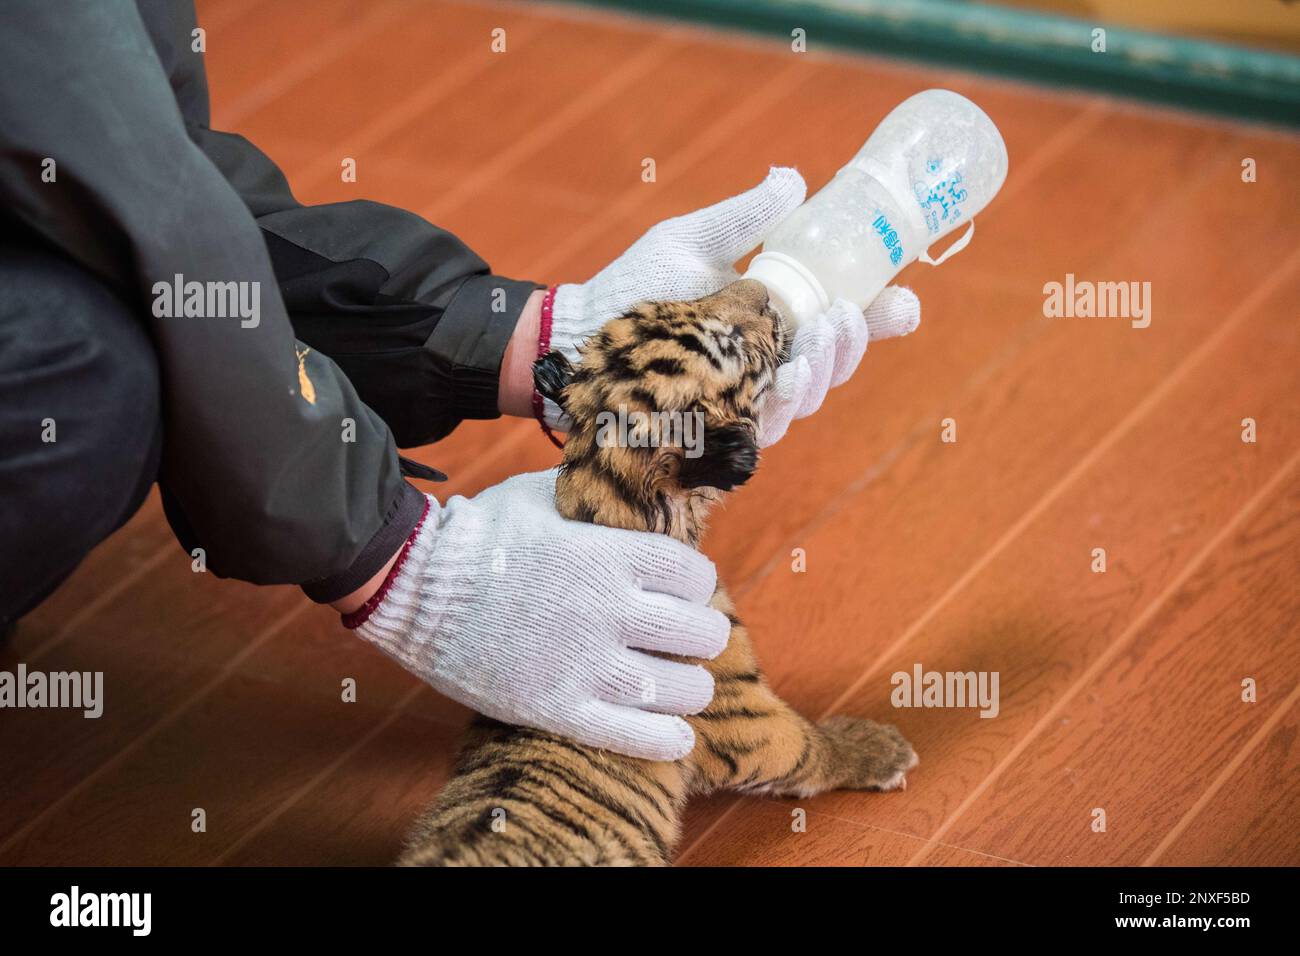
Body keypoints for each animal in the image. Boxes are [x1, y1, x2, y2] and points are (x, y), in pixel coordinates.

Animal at [398, 278, 917, 866]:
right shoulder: (736, 710)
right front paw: (877, 748)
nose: (762, 288)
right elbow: (806, 746)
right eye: (732, 345)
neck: (603, 493)